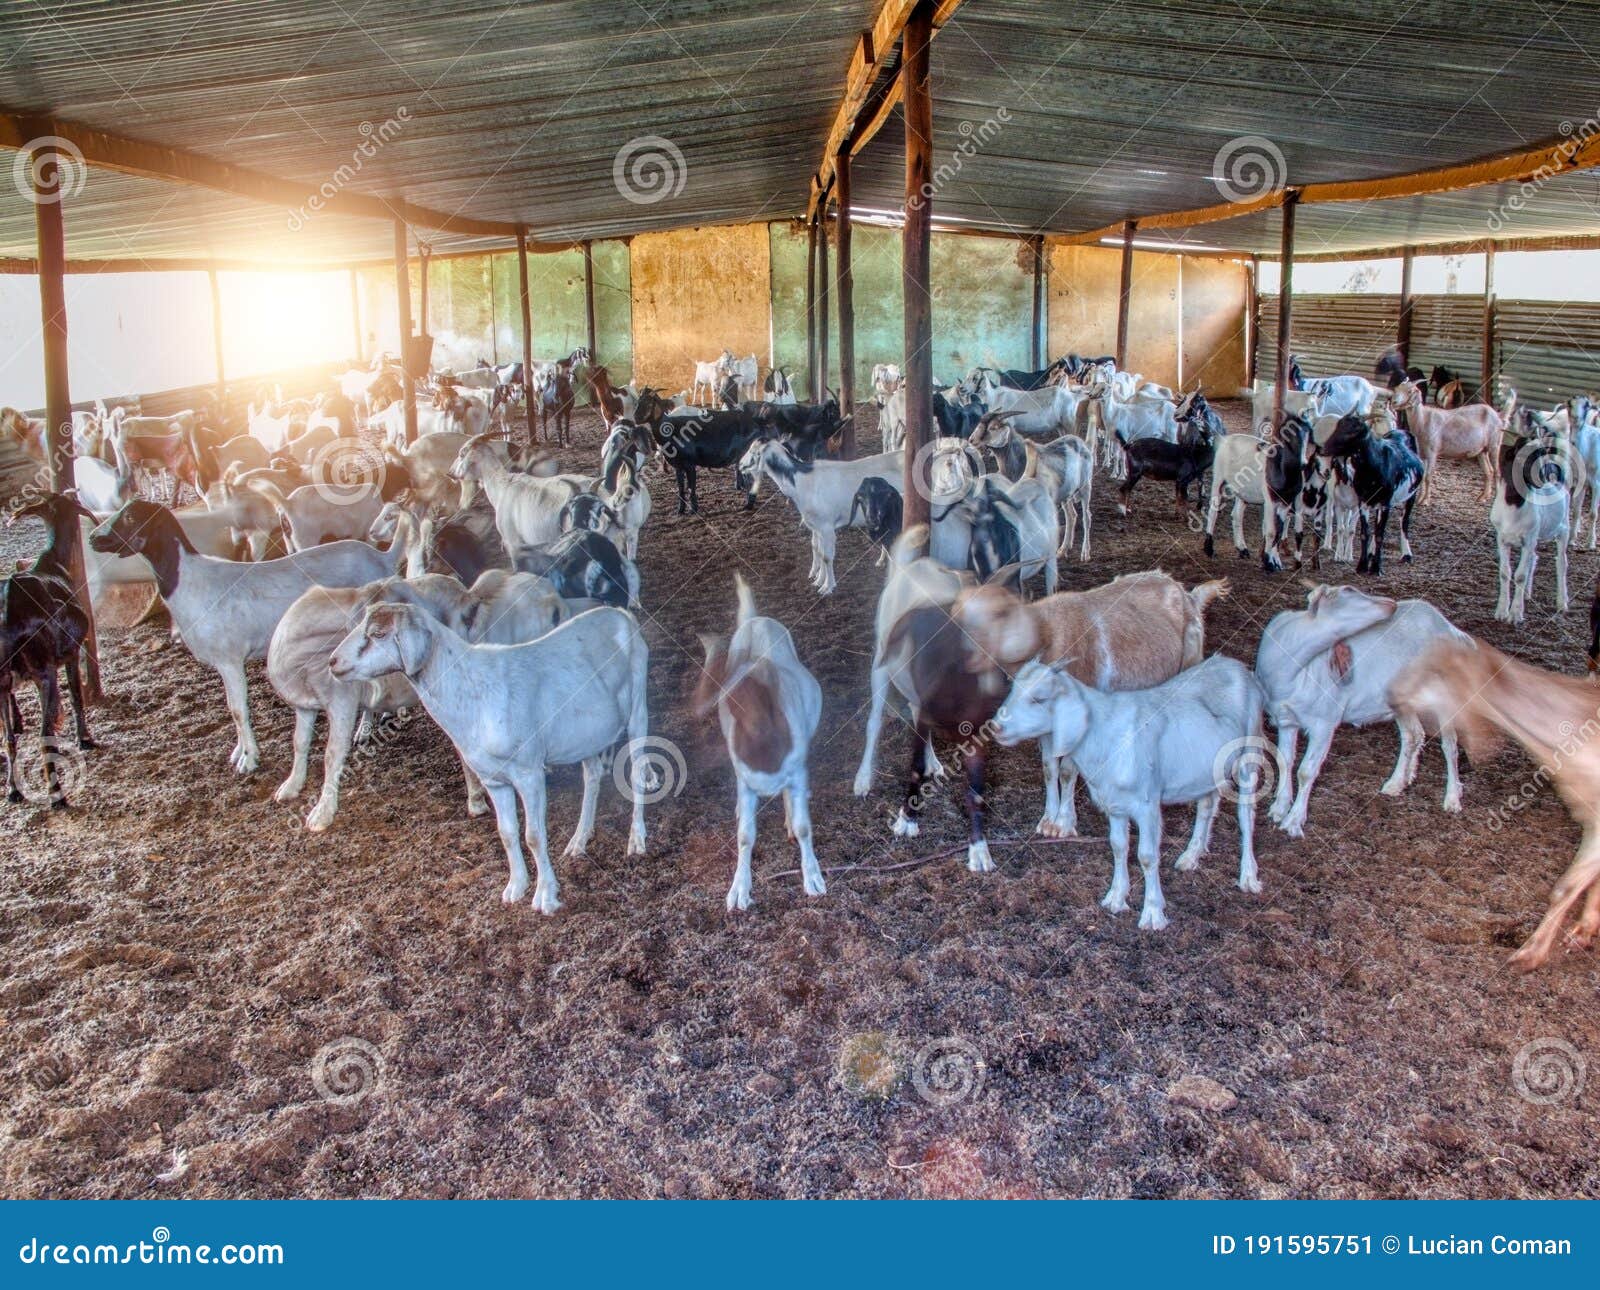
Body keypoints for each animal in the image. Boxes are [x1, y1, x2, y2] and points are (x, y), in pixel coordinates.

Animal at [88, 500, 393, 773]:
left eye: (130, 517)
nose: (92, 538)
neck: (189, 581)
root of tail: (382, 558)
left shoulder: (230, 659)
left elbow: (237, 709)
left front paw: (249, 759)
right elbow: (234, 708)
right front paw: (239, 752)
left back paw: (364, 730)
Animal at [329, 602, 650, 914]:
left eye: (378, 634)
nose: (333, 662)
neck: (473, 695)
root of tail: (621, 614)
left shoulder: (529, 772)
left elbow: (534, 835)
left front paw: (546, 897)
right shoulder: (493, 778)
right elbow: (506, 832)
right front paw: (515, 888)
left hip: (638, 708)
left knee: (636, 772)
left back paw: (636, 840)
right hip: (587, 736)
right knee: (592, 775)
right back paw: (579, 840)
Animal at [693, 575, 824, 910]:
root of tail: (755, 620)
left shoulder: (796, 772)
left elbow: (804, 826)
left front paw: (814, 878)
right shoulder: (747, 780)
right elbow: (745, 836)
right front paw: (739, 889)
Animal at [993, 654, 1266, 930]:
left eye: (1038, 699)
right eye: (1012, 690)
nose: (995, 726)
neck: (1103, 734)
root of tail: (1234, 665)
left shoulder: (1147, 805)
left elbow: (1146, 855)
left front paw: (1153, 913)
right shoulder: (1115, 804)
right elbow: (1118, 846)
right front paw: (1116, 898)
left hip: (1249, 752)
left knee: (1246, 815)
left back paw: (1248, 876)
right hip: (1208, 769)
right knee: (1208, 804)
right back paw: (1191, 855)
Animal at [1256, 584, 1469, 837]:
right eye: (1349, 589)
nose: (1391, 603)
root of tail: (1450, 628)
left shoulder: (1324, 722)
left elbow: (1306, 771)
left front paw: (1294, 821)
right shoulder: (1286, 719)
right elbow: (1285, 761)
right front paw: (1278, 808)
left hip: (1444, 693)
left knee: (1450, 745)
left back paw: (1452, 798)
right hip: (1403, 701)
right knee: (1413, 735)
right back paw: (1396, 783)